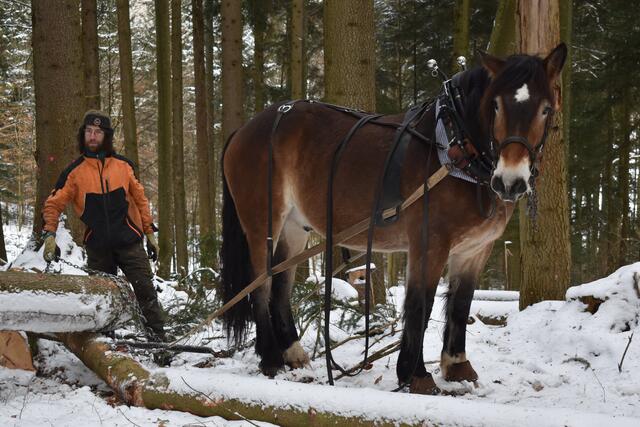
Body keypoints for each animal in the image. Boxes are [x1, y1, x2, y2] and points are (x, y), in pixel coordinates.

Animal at [219, 43, 567, 394]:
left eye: (546, 109)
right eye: (495, 105)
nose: (510, 182)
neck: (455, 150)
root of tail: (244, 130)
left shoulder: (475, 249)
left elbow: (460, 304)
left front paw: (457, 365)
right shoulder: (429, 243)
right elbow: (419, 305)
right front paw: (415, 375)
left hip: (294, 227)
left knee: (280, 286)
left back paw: (293, 354)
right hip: (262, 222)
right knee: (260, 285)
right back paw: (270, 359)